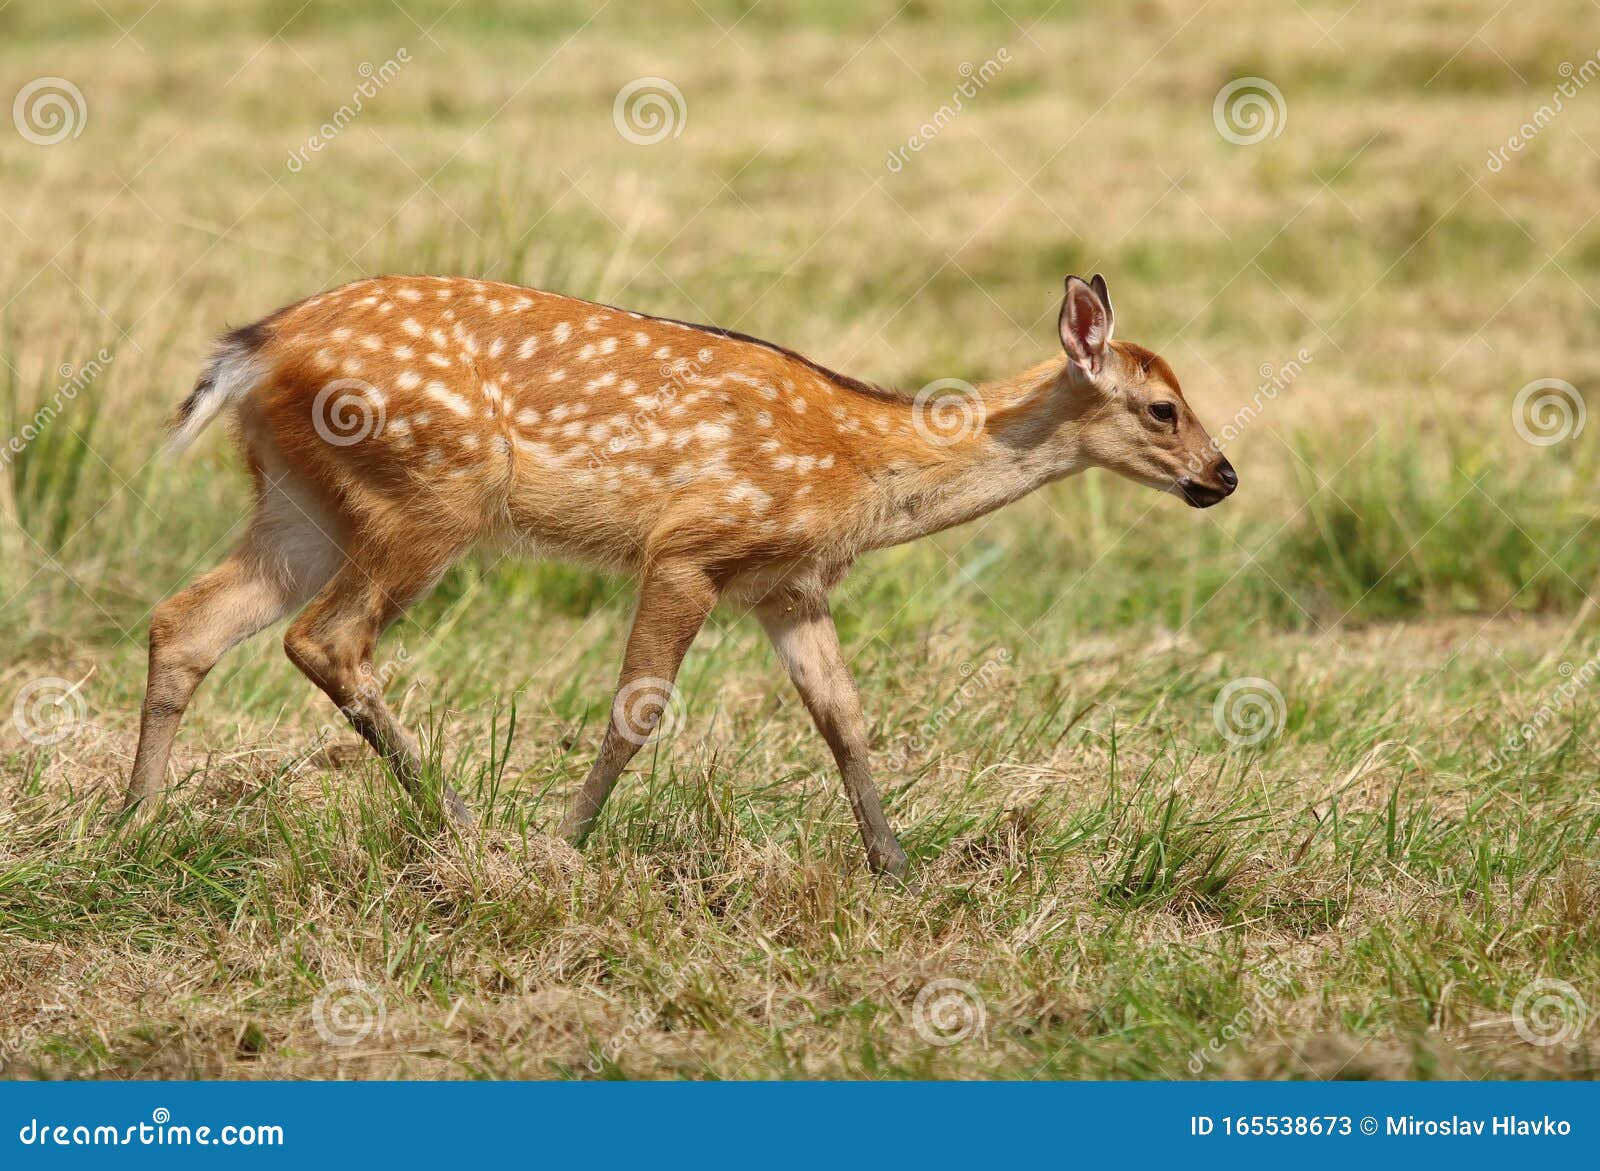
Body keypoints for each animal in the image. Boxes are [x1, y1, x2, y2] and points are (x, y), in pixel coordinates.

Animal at [123, 272, 1236, 879]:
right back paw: (470, 827)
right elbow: (637, 707)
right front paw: (564, 847)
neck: (864, 469)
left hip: (301, 502)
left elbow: (845, 717)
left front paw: (897, 867)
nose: (1222, 476)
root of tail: (252, 349)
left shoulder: (788, 584)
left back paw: (132, 823)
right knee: (325, 637)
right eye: (1162, 407)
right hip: (432, 493)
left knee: (184, 619)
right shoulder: (692, 546)